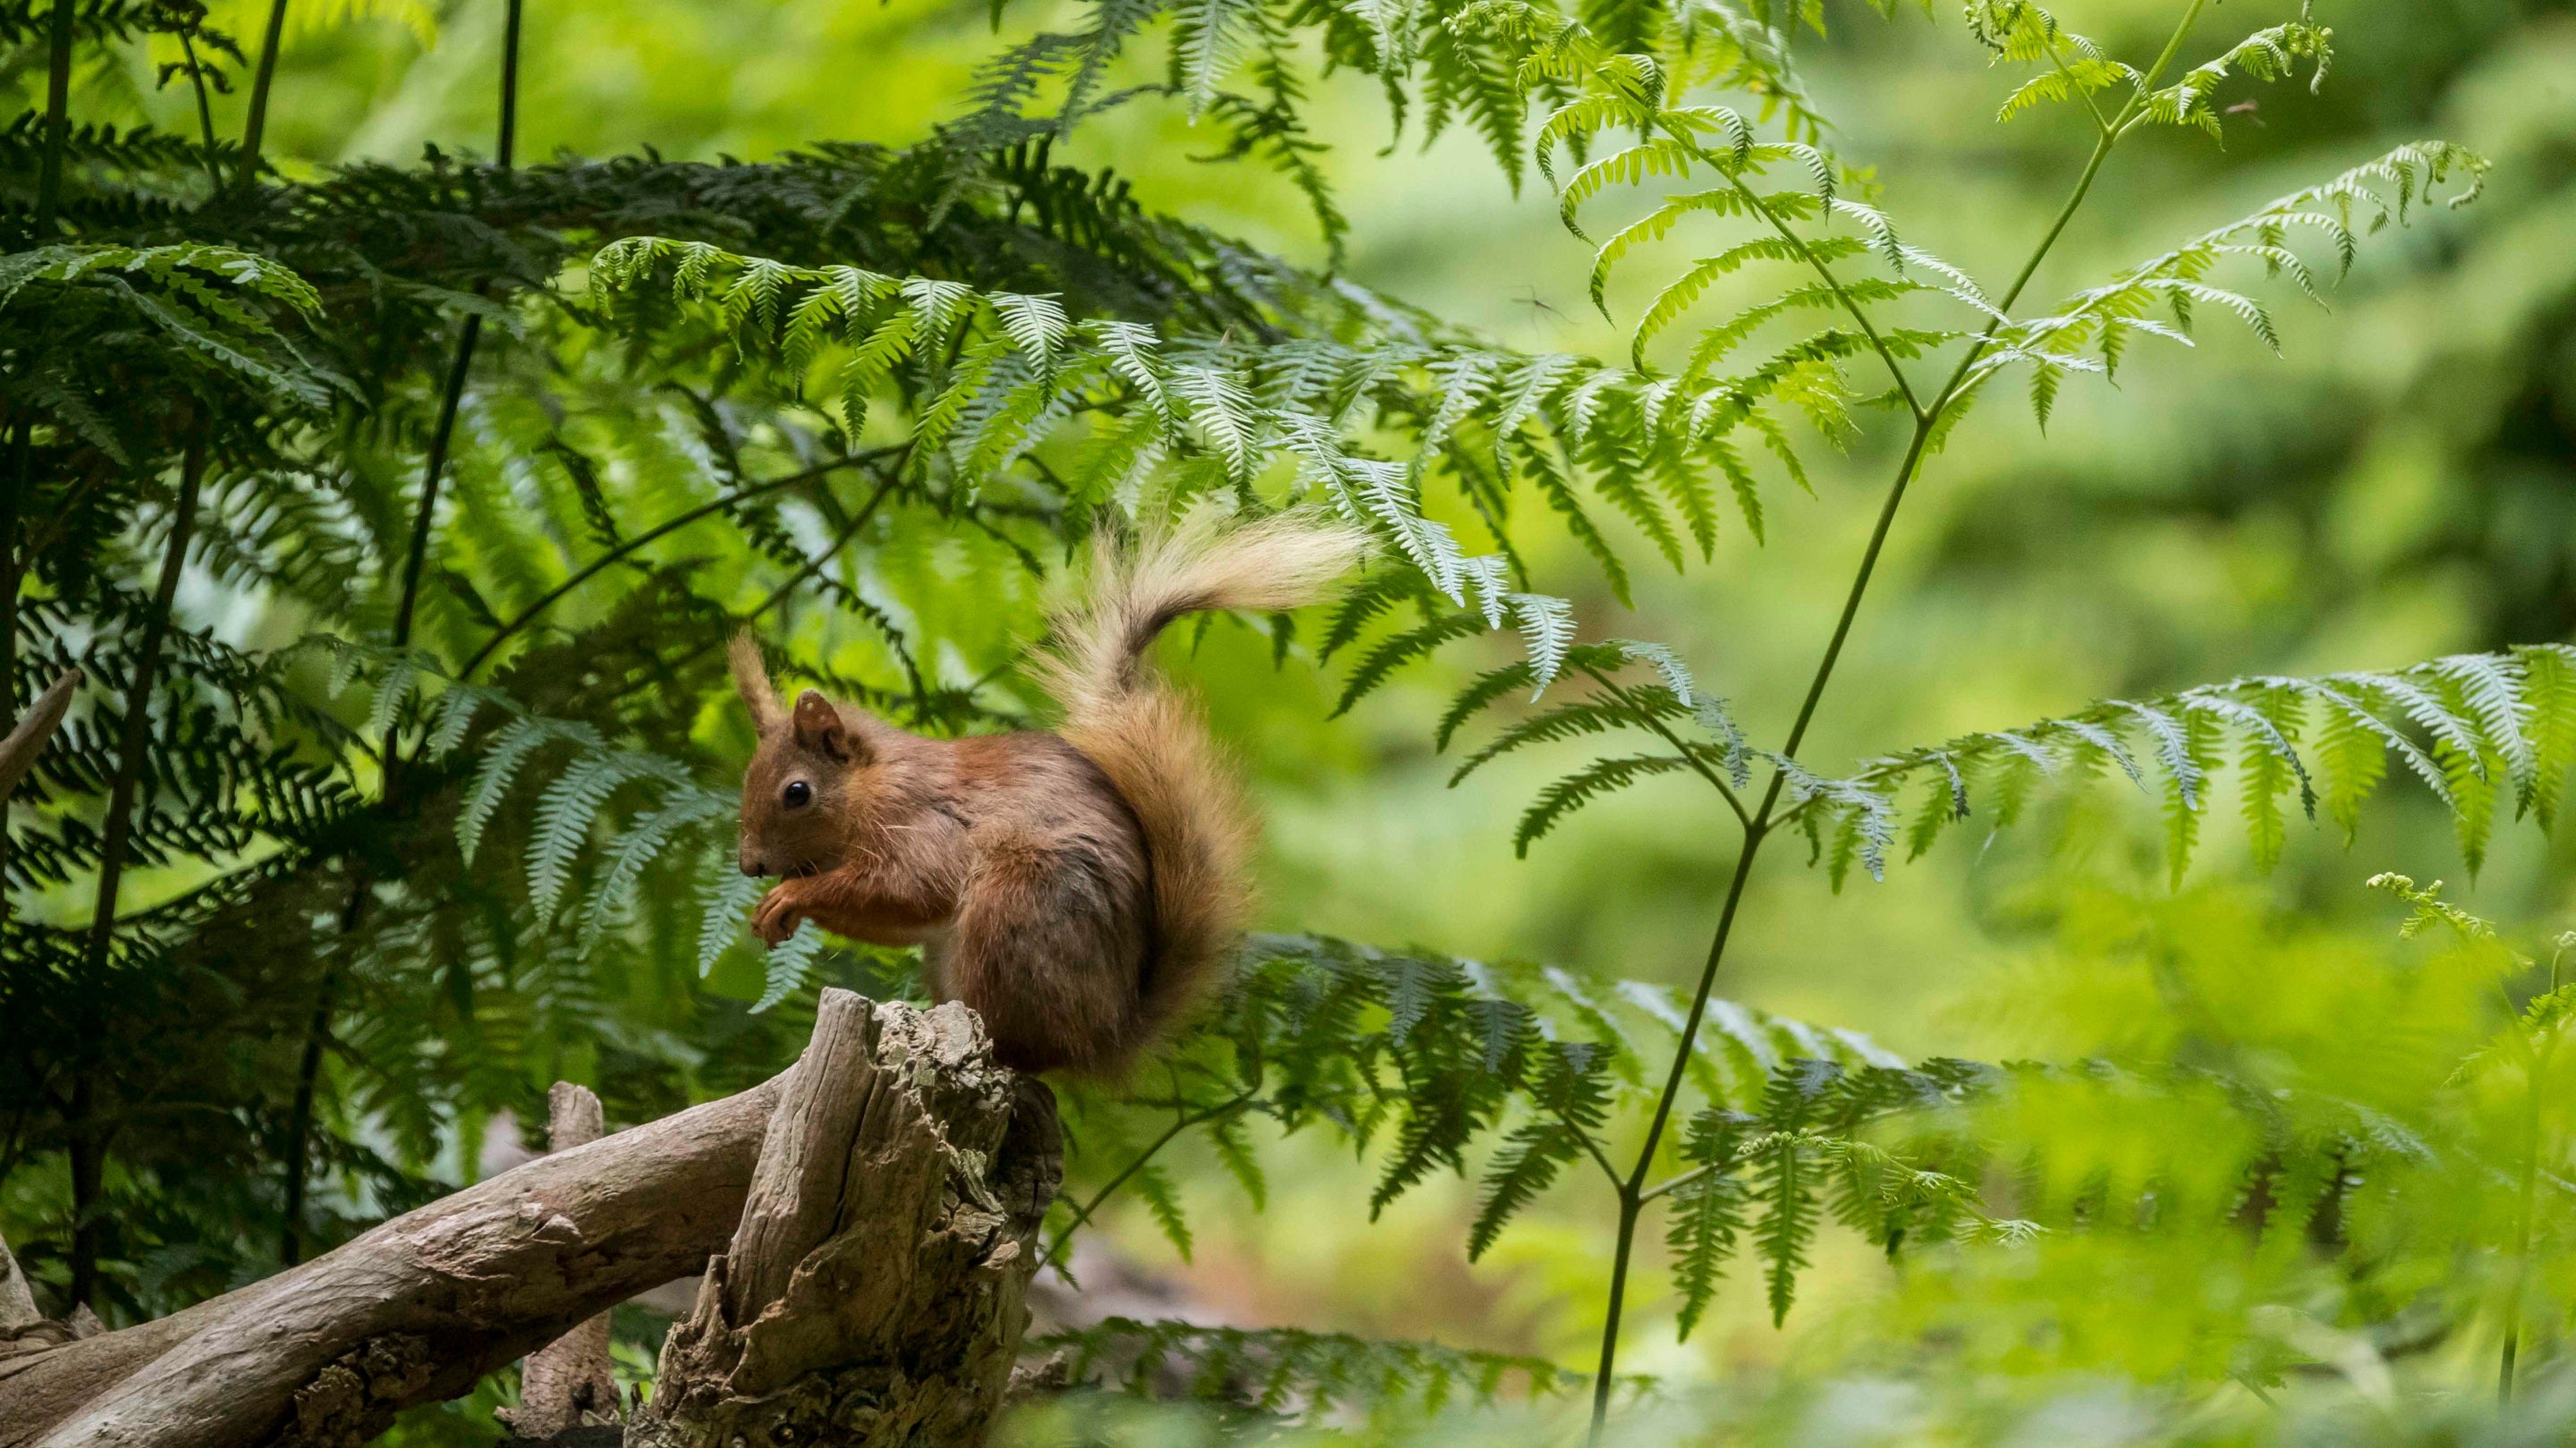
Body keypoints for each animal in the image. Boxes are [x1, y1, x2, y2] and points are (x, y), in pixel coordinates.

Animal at [730, 512, 1367, 1075]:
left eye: (797, 792)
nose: (750, 865)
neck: (869, 786)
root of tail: (1103, 1037)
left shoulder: (921, 823)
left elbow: (908, 891)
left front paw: (789, 898)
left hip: (1013, 907)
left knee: (1023, 1049)